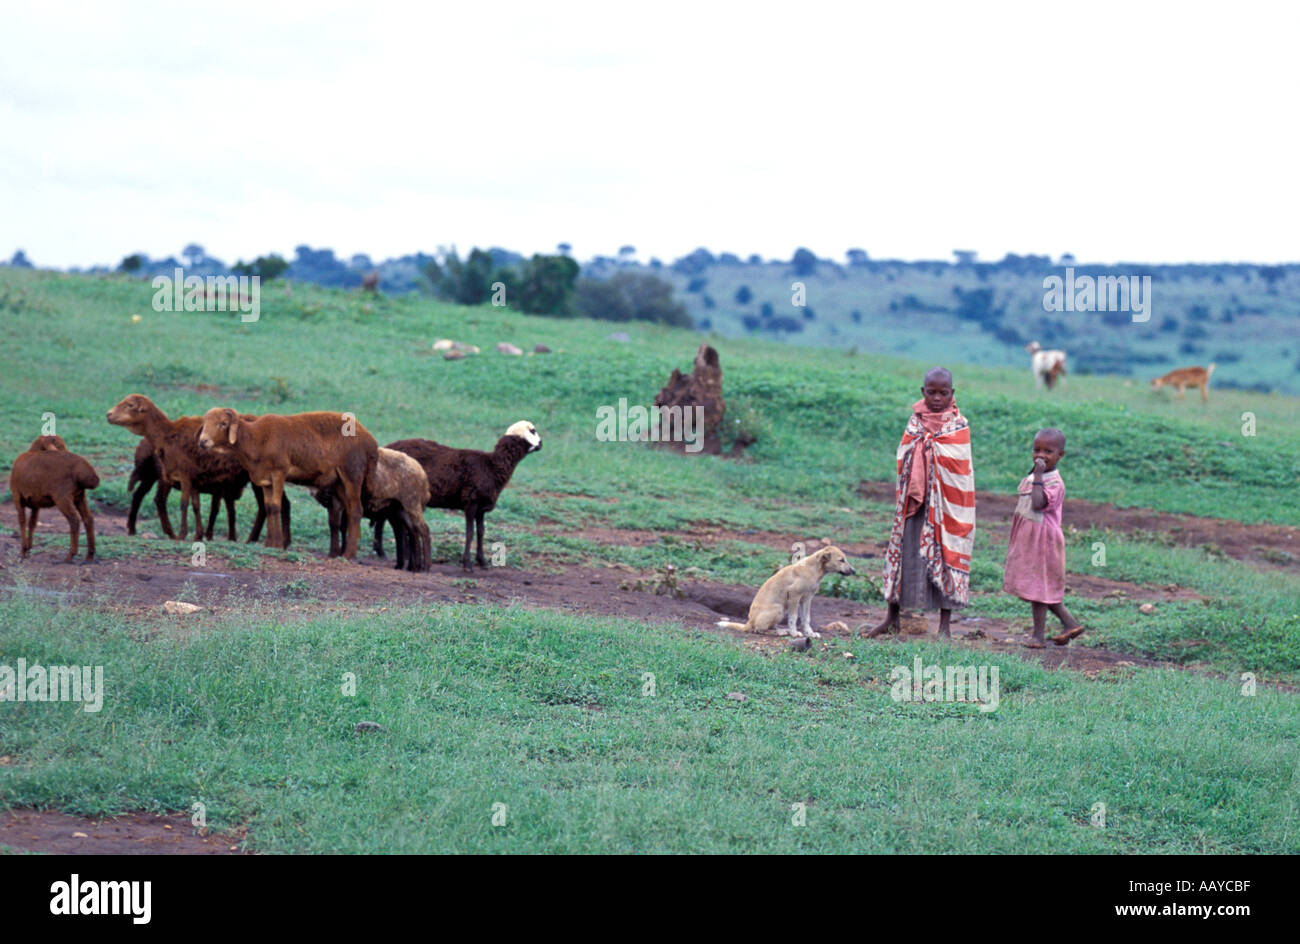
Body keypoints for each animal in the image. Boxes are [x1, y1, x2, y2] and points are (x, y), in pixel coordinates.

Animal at [107, 394, 290, 542]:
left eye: (130, 405)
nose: (108, 414)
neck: (168, 435)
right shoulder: (194, 479)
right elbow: (196, 506)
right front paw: (198, 535)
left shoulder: (186, 475)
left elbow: (184, 503)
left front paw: (182, 534)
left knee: (269, 506)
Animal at [197, 408, 378, 558]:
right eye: (205, 423)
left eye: (223, 423)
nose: (203, 441)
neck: (257, 439)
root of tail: (370, 441)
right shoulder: (266, 479)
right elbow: (269, 507)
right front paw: (269, 543)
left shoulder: (279, 472)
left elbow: (276, 506)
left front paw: (277, 544)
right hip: (339, 481)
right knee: (349, 510)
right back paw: (339, 552)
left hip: (352, 473)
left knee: (356, 510)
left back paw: (349, 555)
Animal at [382, 420, 541, 570]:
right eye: (533, 431)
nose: (541, 444)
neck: (492, 466)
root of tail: (386, 447)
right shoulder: (471, 502)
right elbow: (470, 533)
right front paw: (467, 564)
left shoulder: (481, 508)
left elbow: (481, 532)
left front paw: (482, 562)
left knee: (401, 527)